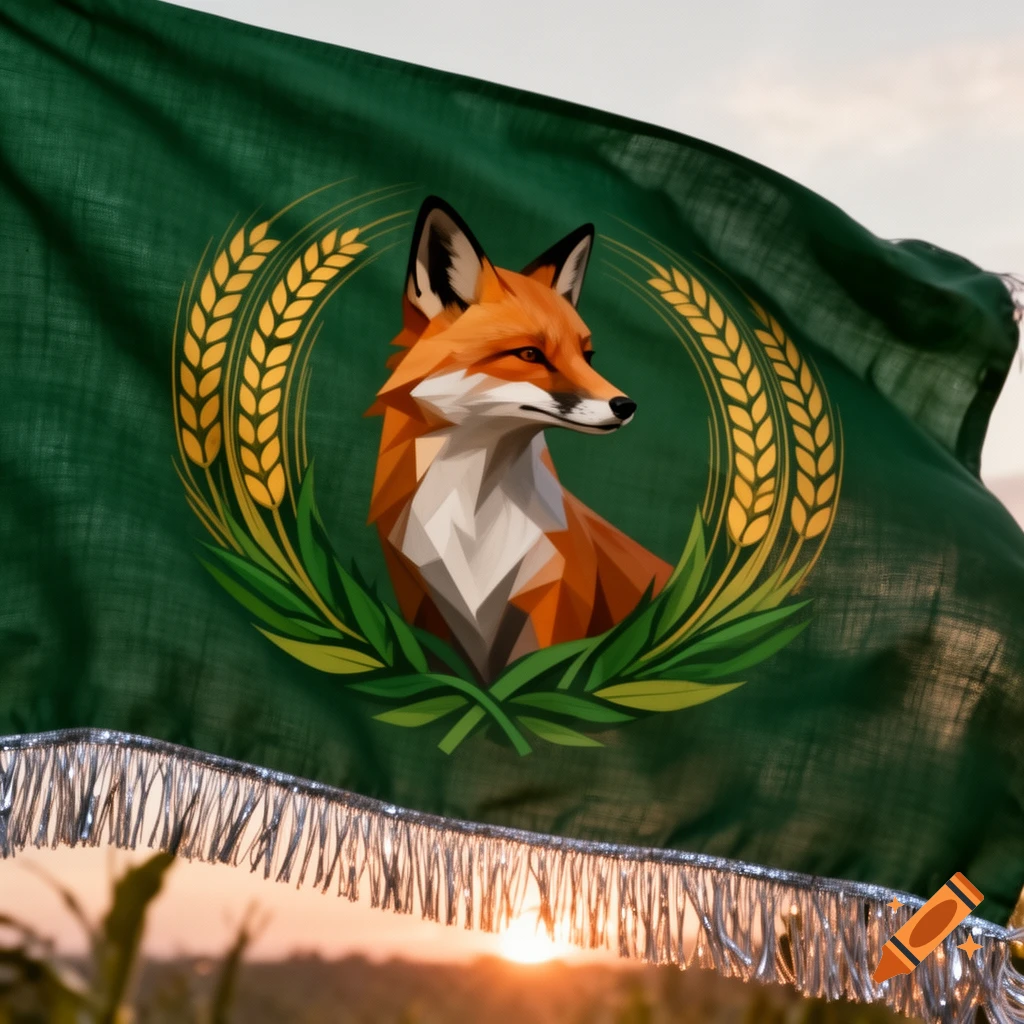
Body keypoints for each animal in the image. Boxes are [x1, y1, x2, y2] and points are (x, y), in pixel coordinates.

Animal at [367, 197, 672, 683]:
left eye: (586, 356)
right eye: (530, 354)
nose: (626, 406)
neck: (473, 529)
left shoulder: (550, 613)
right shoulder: (426, 611)